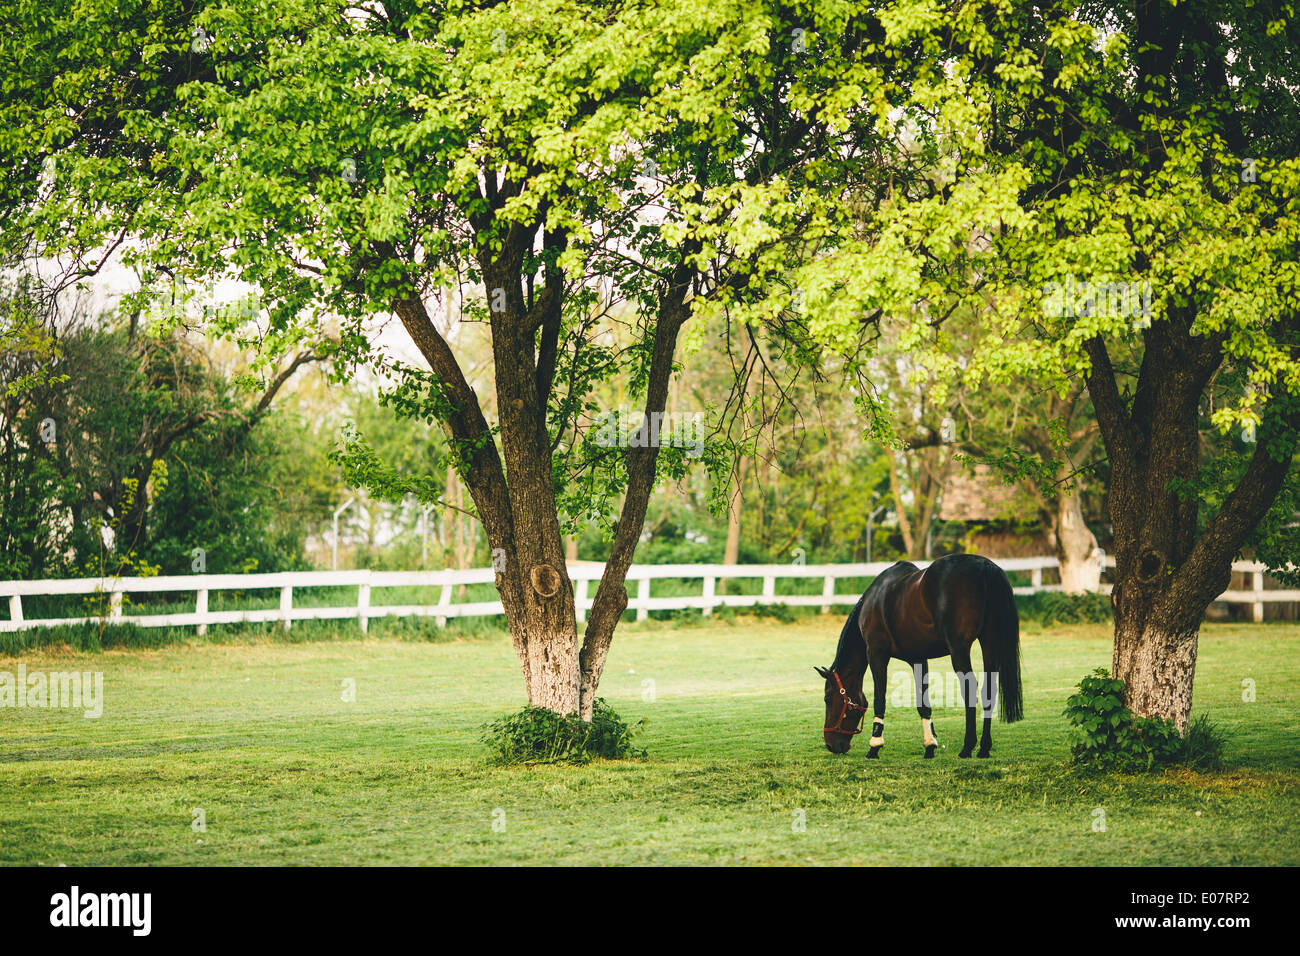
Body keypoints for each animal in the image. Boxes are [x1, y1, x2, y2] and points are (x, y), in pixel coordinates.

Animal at [815, 553, 1023, 758]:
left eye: (827, 698)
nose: (831, 745)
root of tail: (985, 568)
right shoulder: (918, 659)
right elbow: (923, 704)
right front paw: (930, 745)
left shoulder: (876, 654)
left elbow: (879, 699)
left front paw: (874, 745)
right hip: (988, 643)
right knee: (989, 690)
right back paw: (984, 747)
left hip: (959, 649)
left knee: (970, 687)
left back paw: (967, 746)